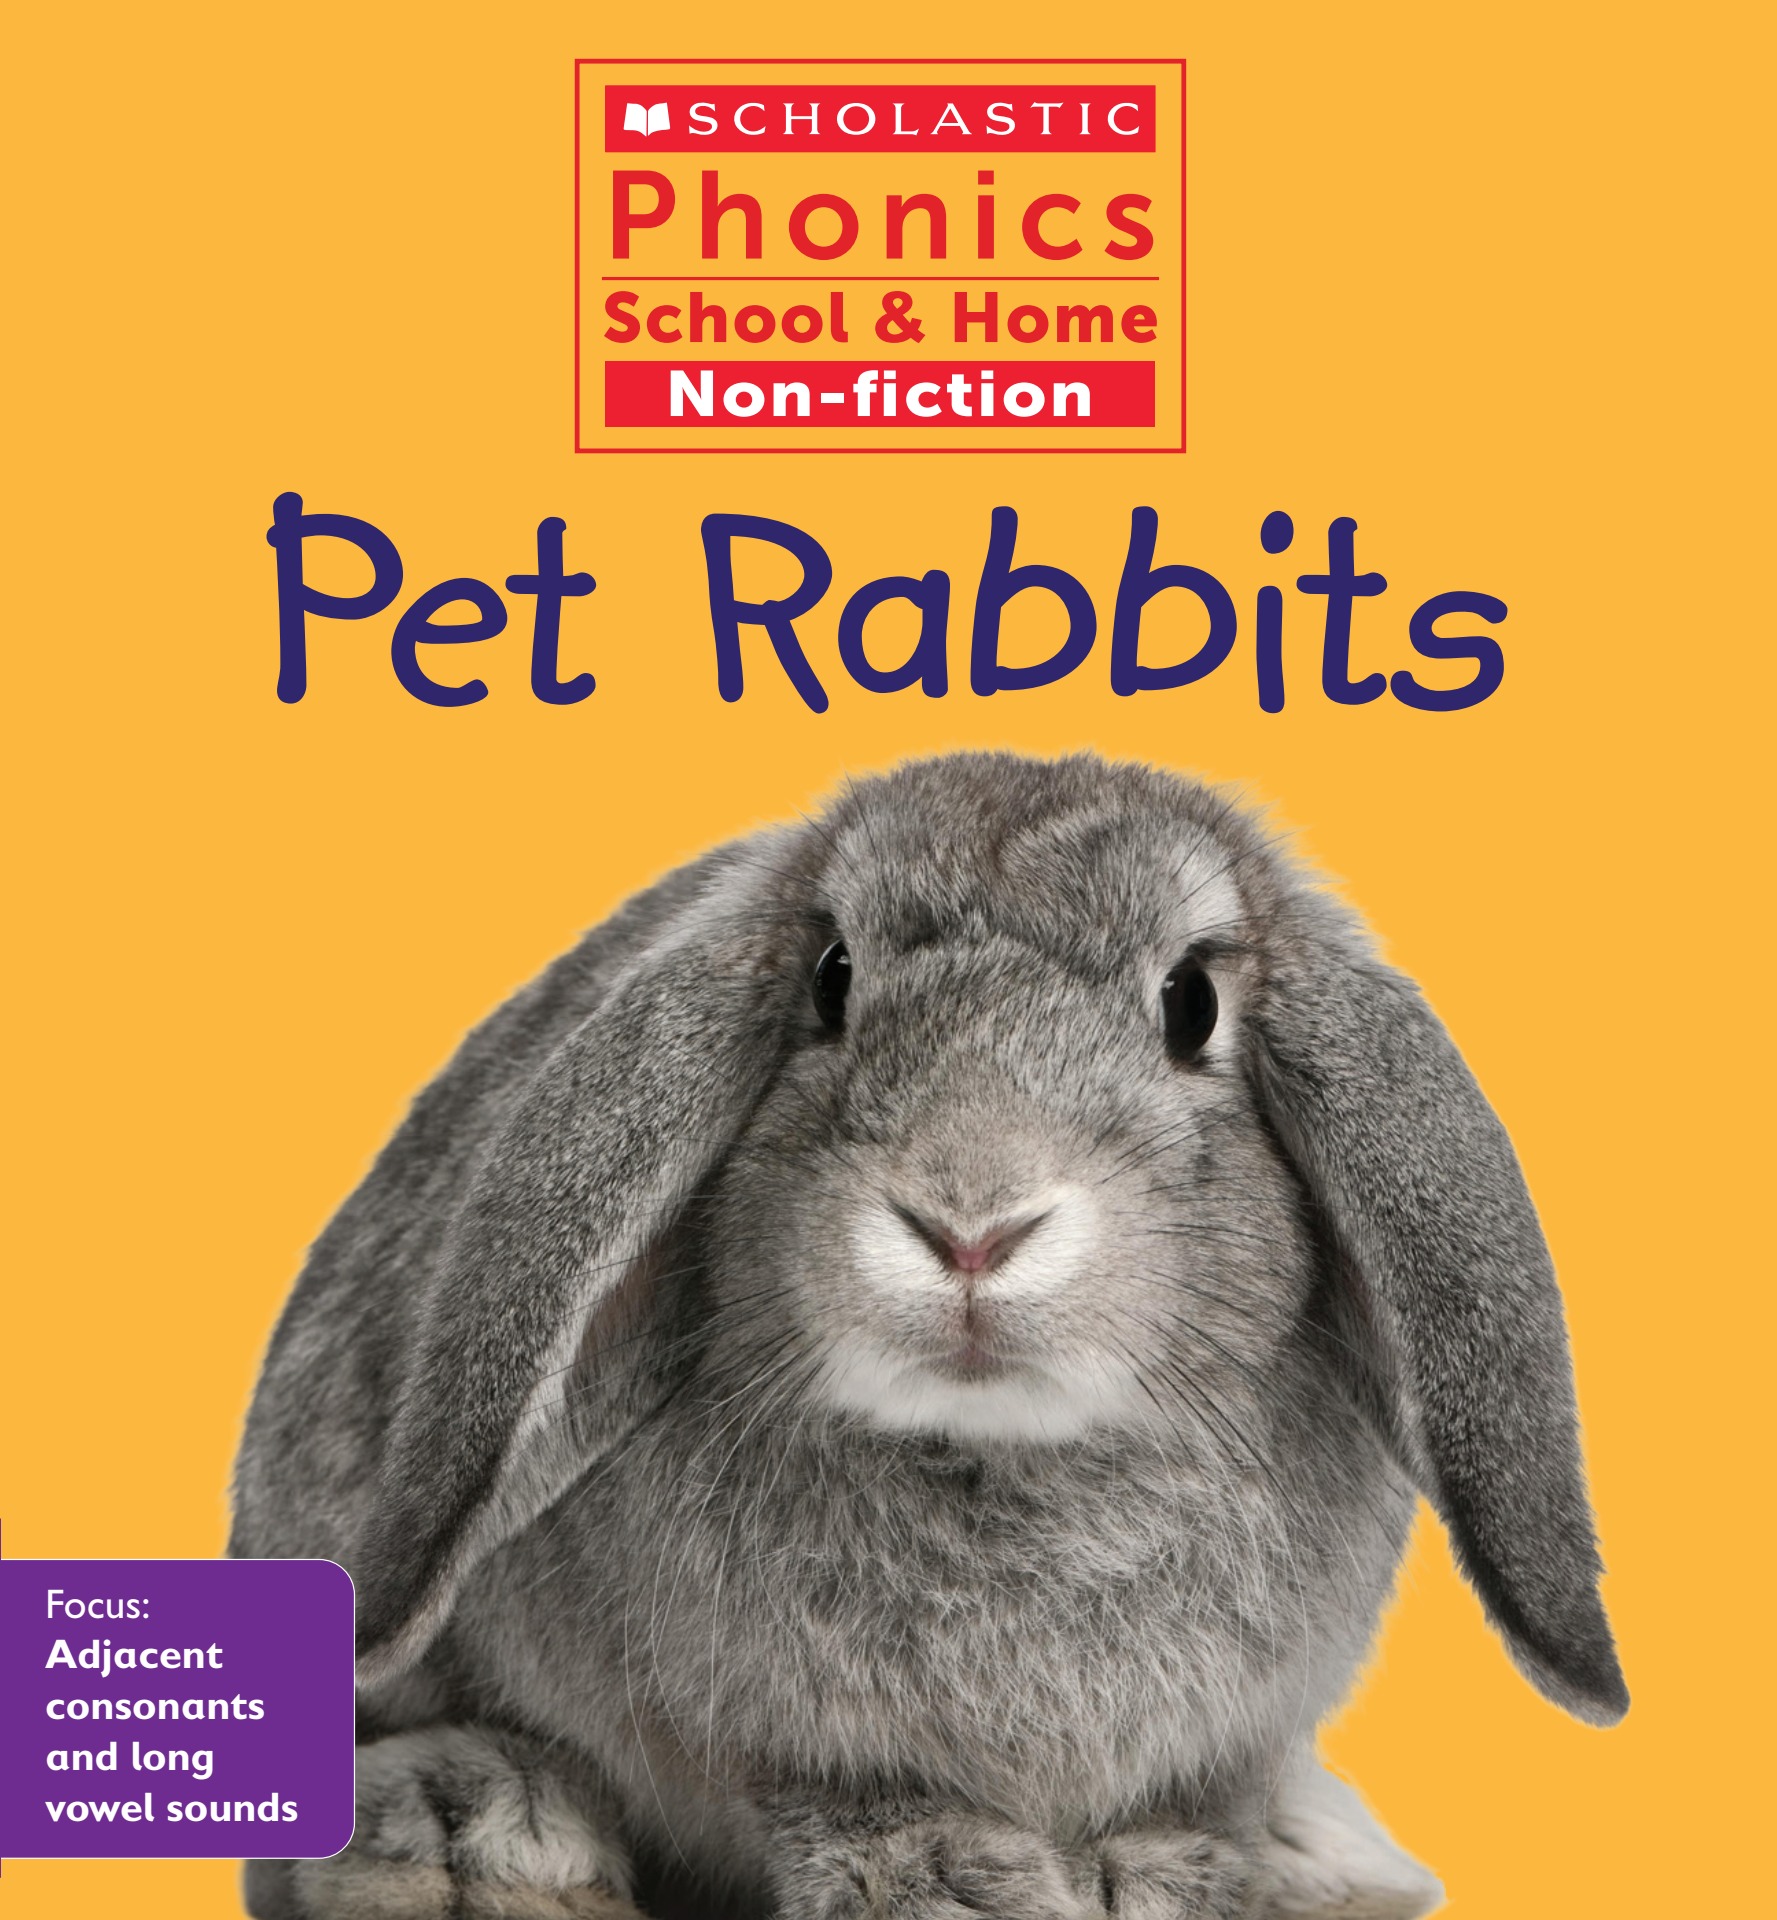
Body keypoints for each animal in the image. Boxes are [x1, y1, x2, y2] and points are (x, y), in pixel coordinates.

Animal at [230, 751, 1626, 1920]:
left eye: (1190, 1003)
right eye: (831, 982)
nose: (969, 1223)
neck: (1003, 1454)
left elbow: (1189, 1810)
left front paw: (1154, 1879)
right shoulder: (785, 1734)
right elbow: (848, 1798)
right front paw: (956, 1884)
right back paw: (479, 1827)